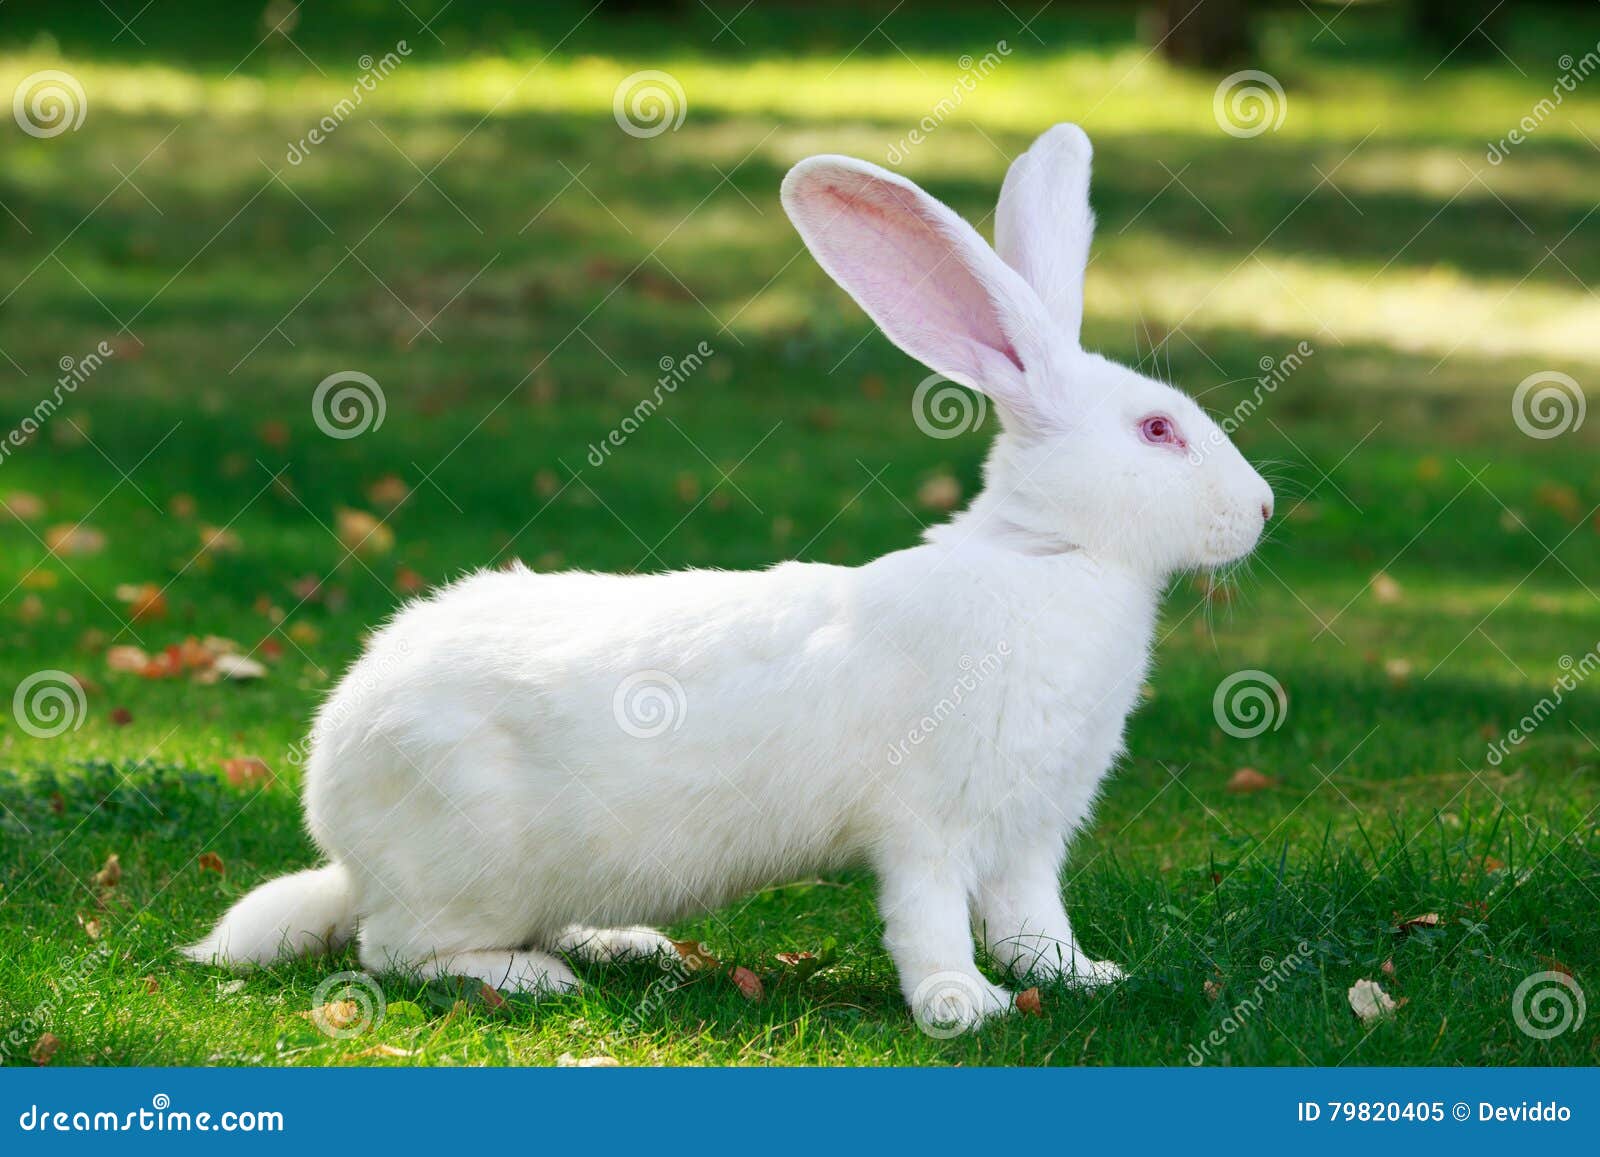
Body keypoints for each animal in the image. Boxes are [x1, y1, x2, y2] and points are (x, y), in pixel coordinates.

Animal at [182, 123, 1273, 1034]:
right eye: (1158, 431)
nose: (1262, 507)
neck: (1048, 556)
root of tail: (342, 830)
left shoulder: (1028, 837)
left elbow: (1032, 922)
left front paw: (1086, 977)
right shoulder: (926, 825)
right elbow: (930, 922)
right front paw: (964, 1007)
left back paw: (625, 942)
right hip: (463, 867)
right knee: (399, 949)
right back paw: (533, 975)